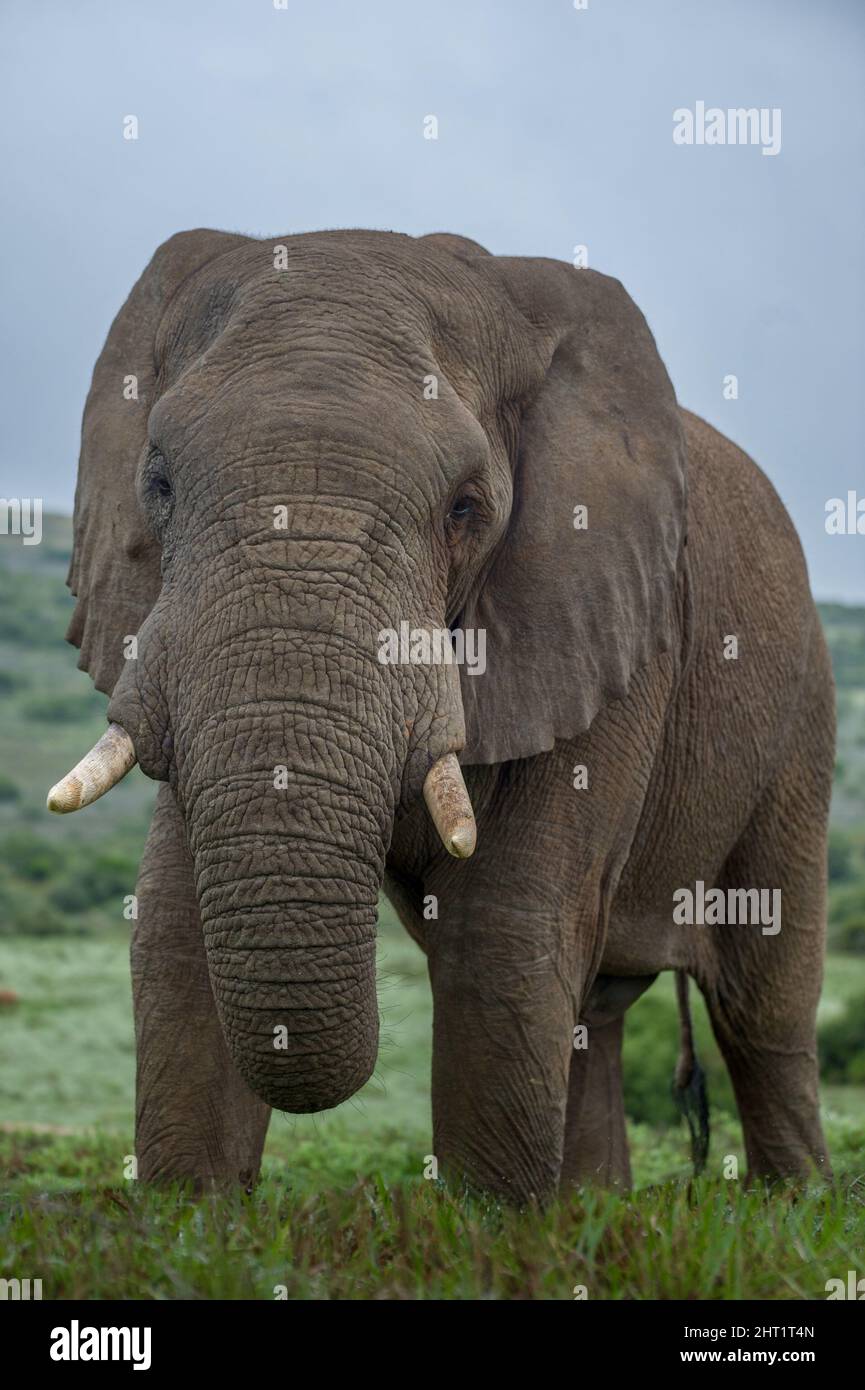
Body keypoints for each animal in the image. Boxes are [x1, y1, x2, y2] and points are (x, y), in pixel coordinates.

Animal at [48, 228, 834, 1203]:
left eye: (466, 508)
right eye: (156, 484)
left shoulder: (608, 619)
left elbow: (503, 924)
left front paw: (488, 1226)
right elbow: (173, 926)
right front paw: (193, 1220)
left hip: (799, 720)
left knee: (761, 1003)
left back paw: (793, 1208)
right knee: (598, 1011)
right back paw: (592, 1209)